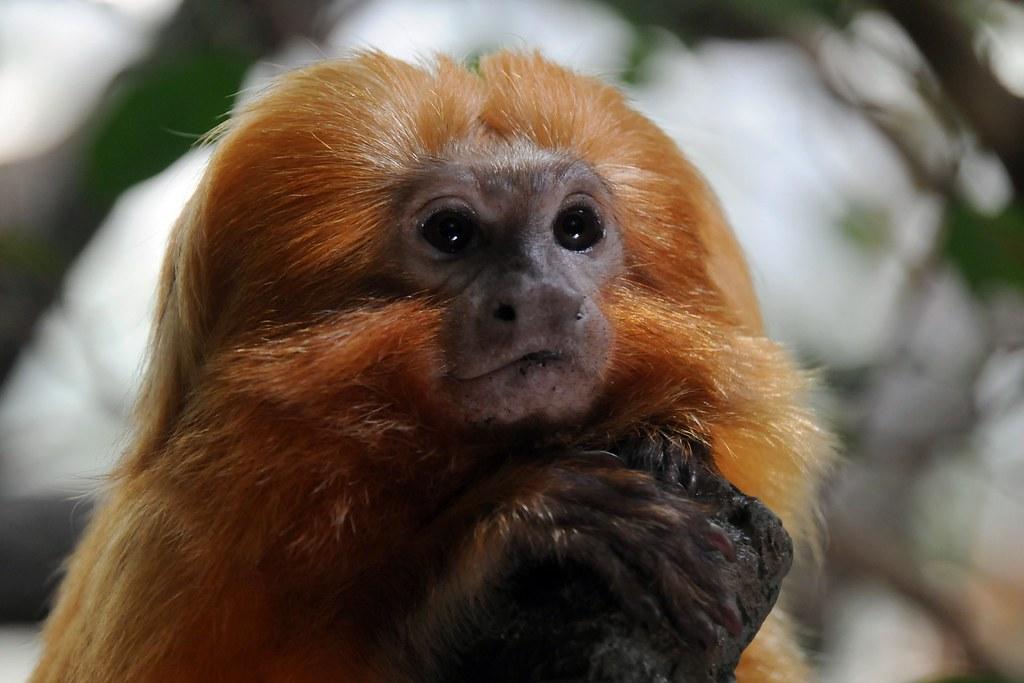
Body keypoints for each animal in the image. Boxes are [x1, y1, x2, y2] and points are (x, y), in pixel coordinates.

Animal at [31, 51, 830, 682]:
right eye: (450, 232)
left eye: (576, 228)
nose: (538, 298)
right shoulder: (164, 559)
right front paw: (499, 539)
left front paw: (667, 439)